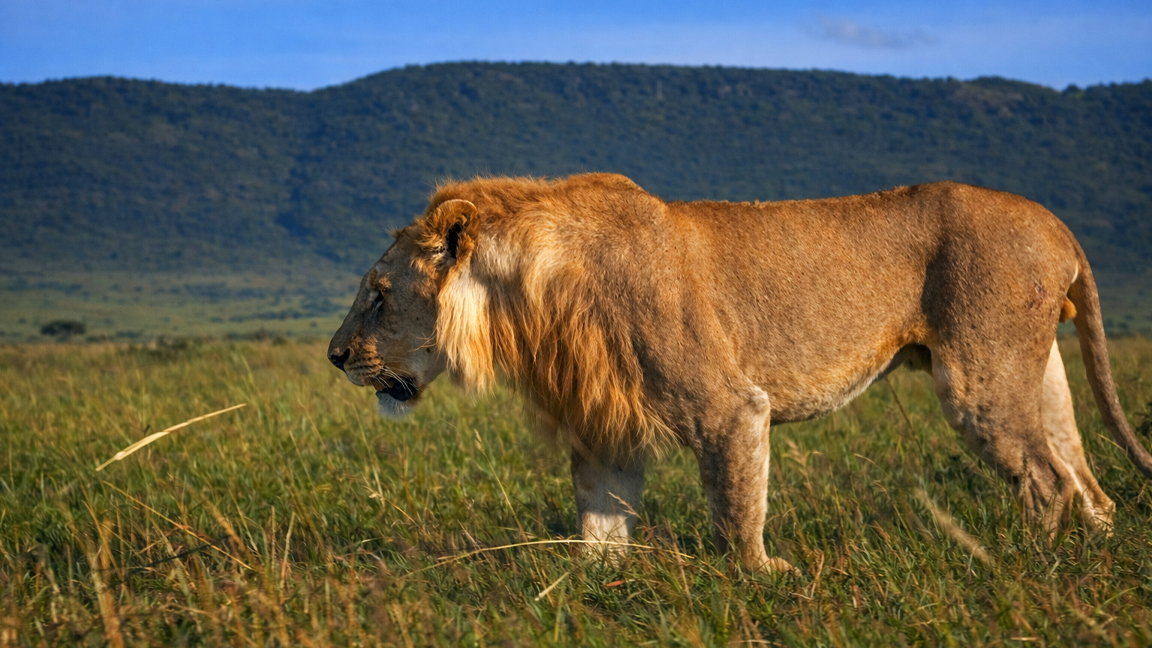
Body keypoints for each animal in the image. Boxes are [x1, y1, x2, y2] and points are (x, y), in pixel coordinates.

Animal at [328, 173, 1152, 573]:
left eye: (379, 294)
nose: (335, 355)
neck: (525, 300)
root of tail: (1053, 221)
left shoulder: (730, 407)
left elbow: (734, 510)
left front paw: (762, 578)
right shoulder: (607, 429)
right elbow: (599, 525)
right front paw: (597, 586)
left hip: (978, 379)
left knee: (1044, 481)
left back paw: (1023, 563)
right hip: (1038, 375)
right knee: (1087, 483)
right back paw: (1092, 552)